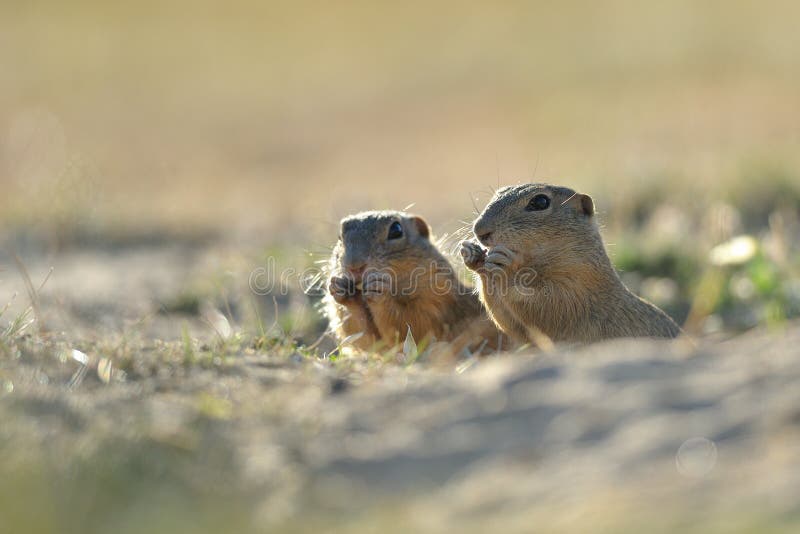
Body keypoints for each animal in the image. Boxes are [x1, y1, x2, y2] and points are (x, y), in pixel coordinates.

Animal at [324, 210, 506, 354]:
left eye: (396, 230)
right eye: (340, 236)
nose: (355, 266)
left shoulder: (436, 299)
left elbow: (412, 326)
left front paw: (379, 289)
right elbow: (364, 338)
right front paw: (338, 287)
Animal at [460, 184, 681, 345]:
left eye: (540, 201)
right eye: (498, 192)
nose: (479, 230)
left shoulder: (575, 287)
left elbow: (543, 306)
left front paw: (505, 266)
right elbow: (514, 325)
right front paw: (472, 255)